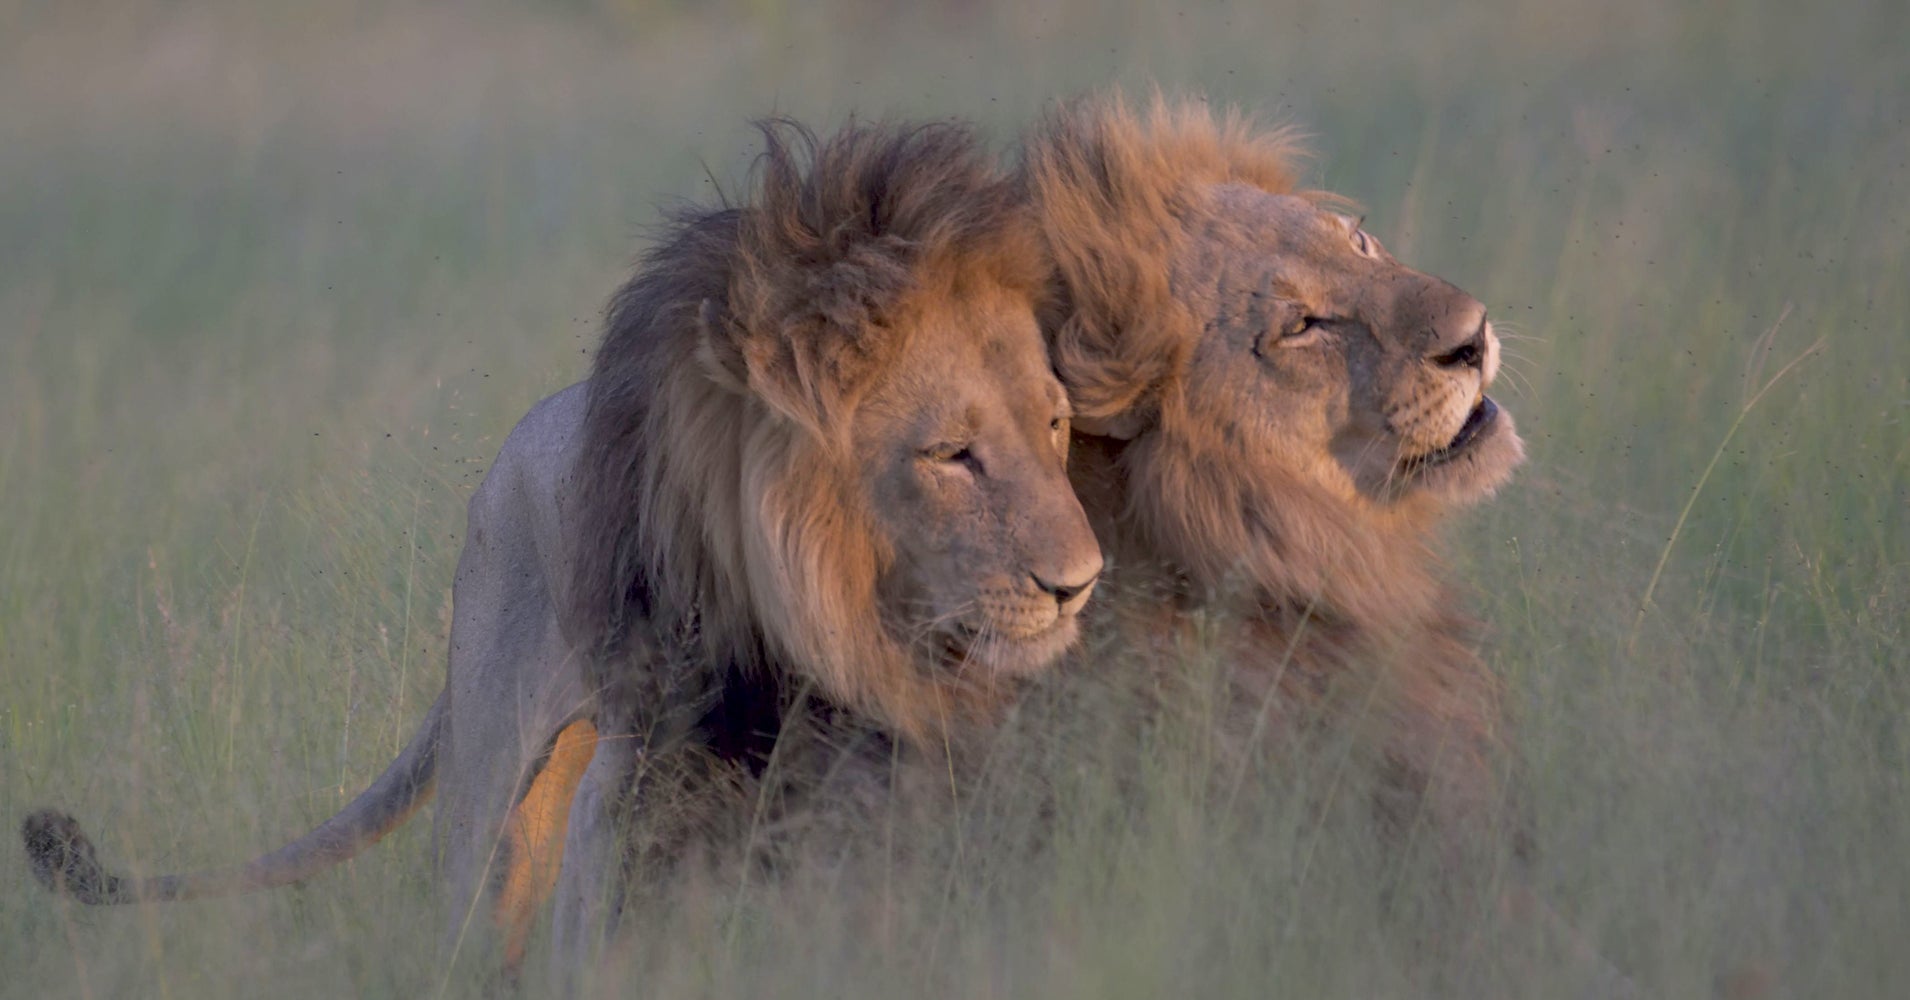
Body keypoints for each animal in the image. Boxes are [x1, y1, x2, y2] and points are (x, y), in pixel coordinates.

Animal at [22, 117, 1104, 978]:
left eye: (1055, 425)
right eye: (952, 454)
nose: (1080, 584)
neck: (825, 641)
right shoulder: (635, 793)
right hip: (494, 799)